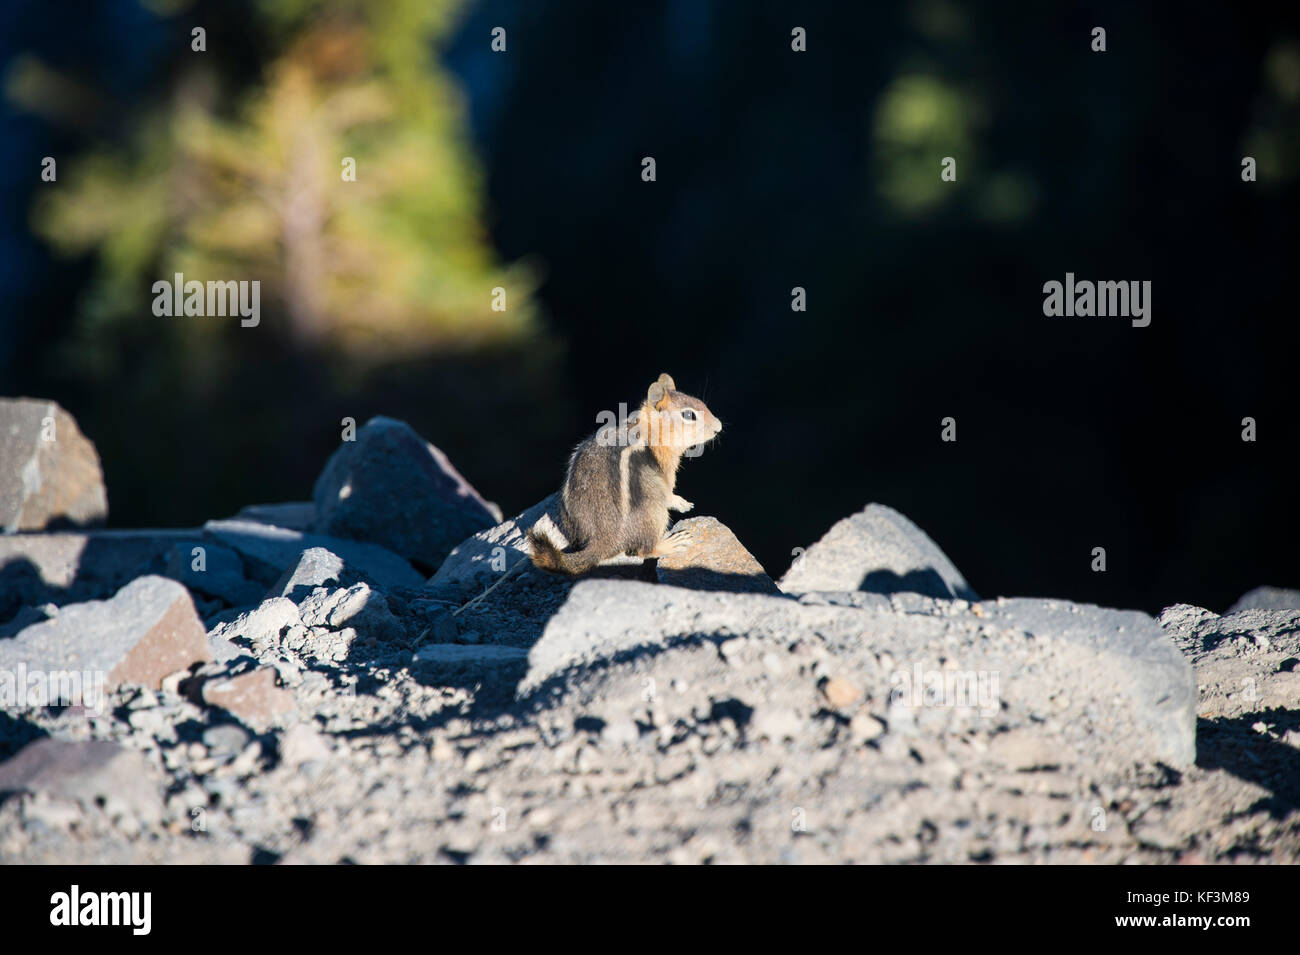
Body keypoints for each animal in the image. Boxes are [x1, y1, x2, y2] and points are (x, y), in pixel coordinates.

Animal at [526, 373, 722, 576]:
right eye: (689, 415)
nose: (719, 427)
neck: (649, 430)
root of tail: (602, 541)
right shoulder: (665, 469)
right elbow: (669, 492)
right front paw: (681, 502)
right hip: (655, 512)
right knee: (643, 550)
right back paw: (671, 544)